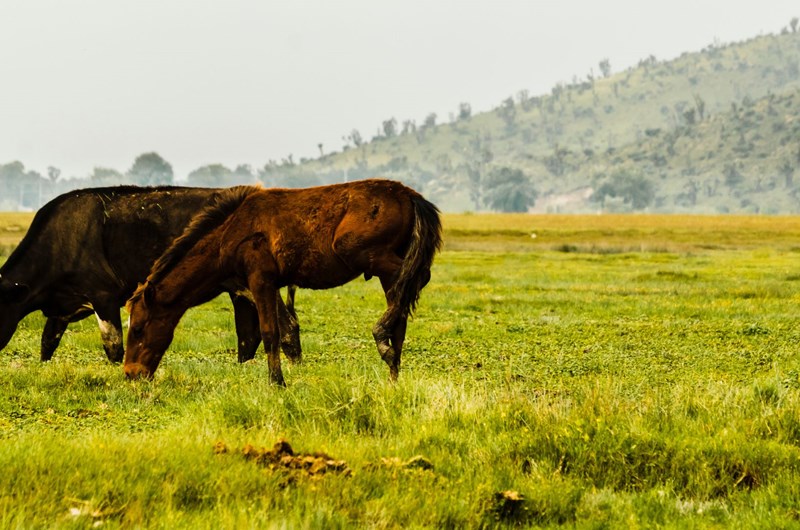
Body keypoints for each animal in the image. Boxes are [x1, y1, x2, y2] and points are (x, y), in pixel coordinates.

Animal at [0, 186, 301, 363]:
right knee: (248, 335)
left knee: (287, 326)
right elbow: (47, 343)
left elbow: (113, 347)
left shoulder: (104, 295)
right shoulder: (62, 306)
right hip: (239, 288)